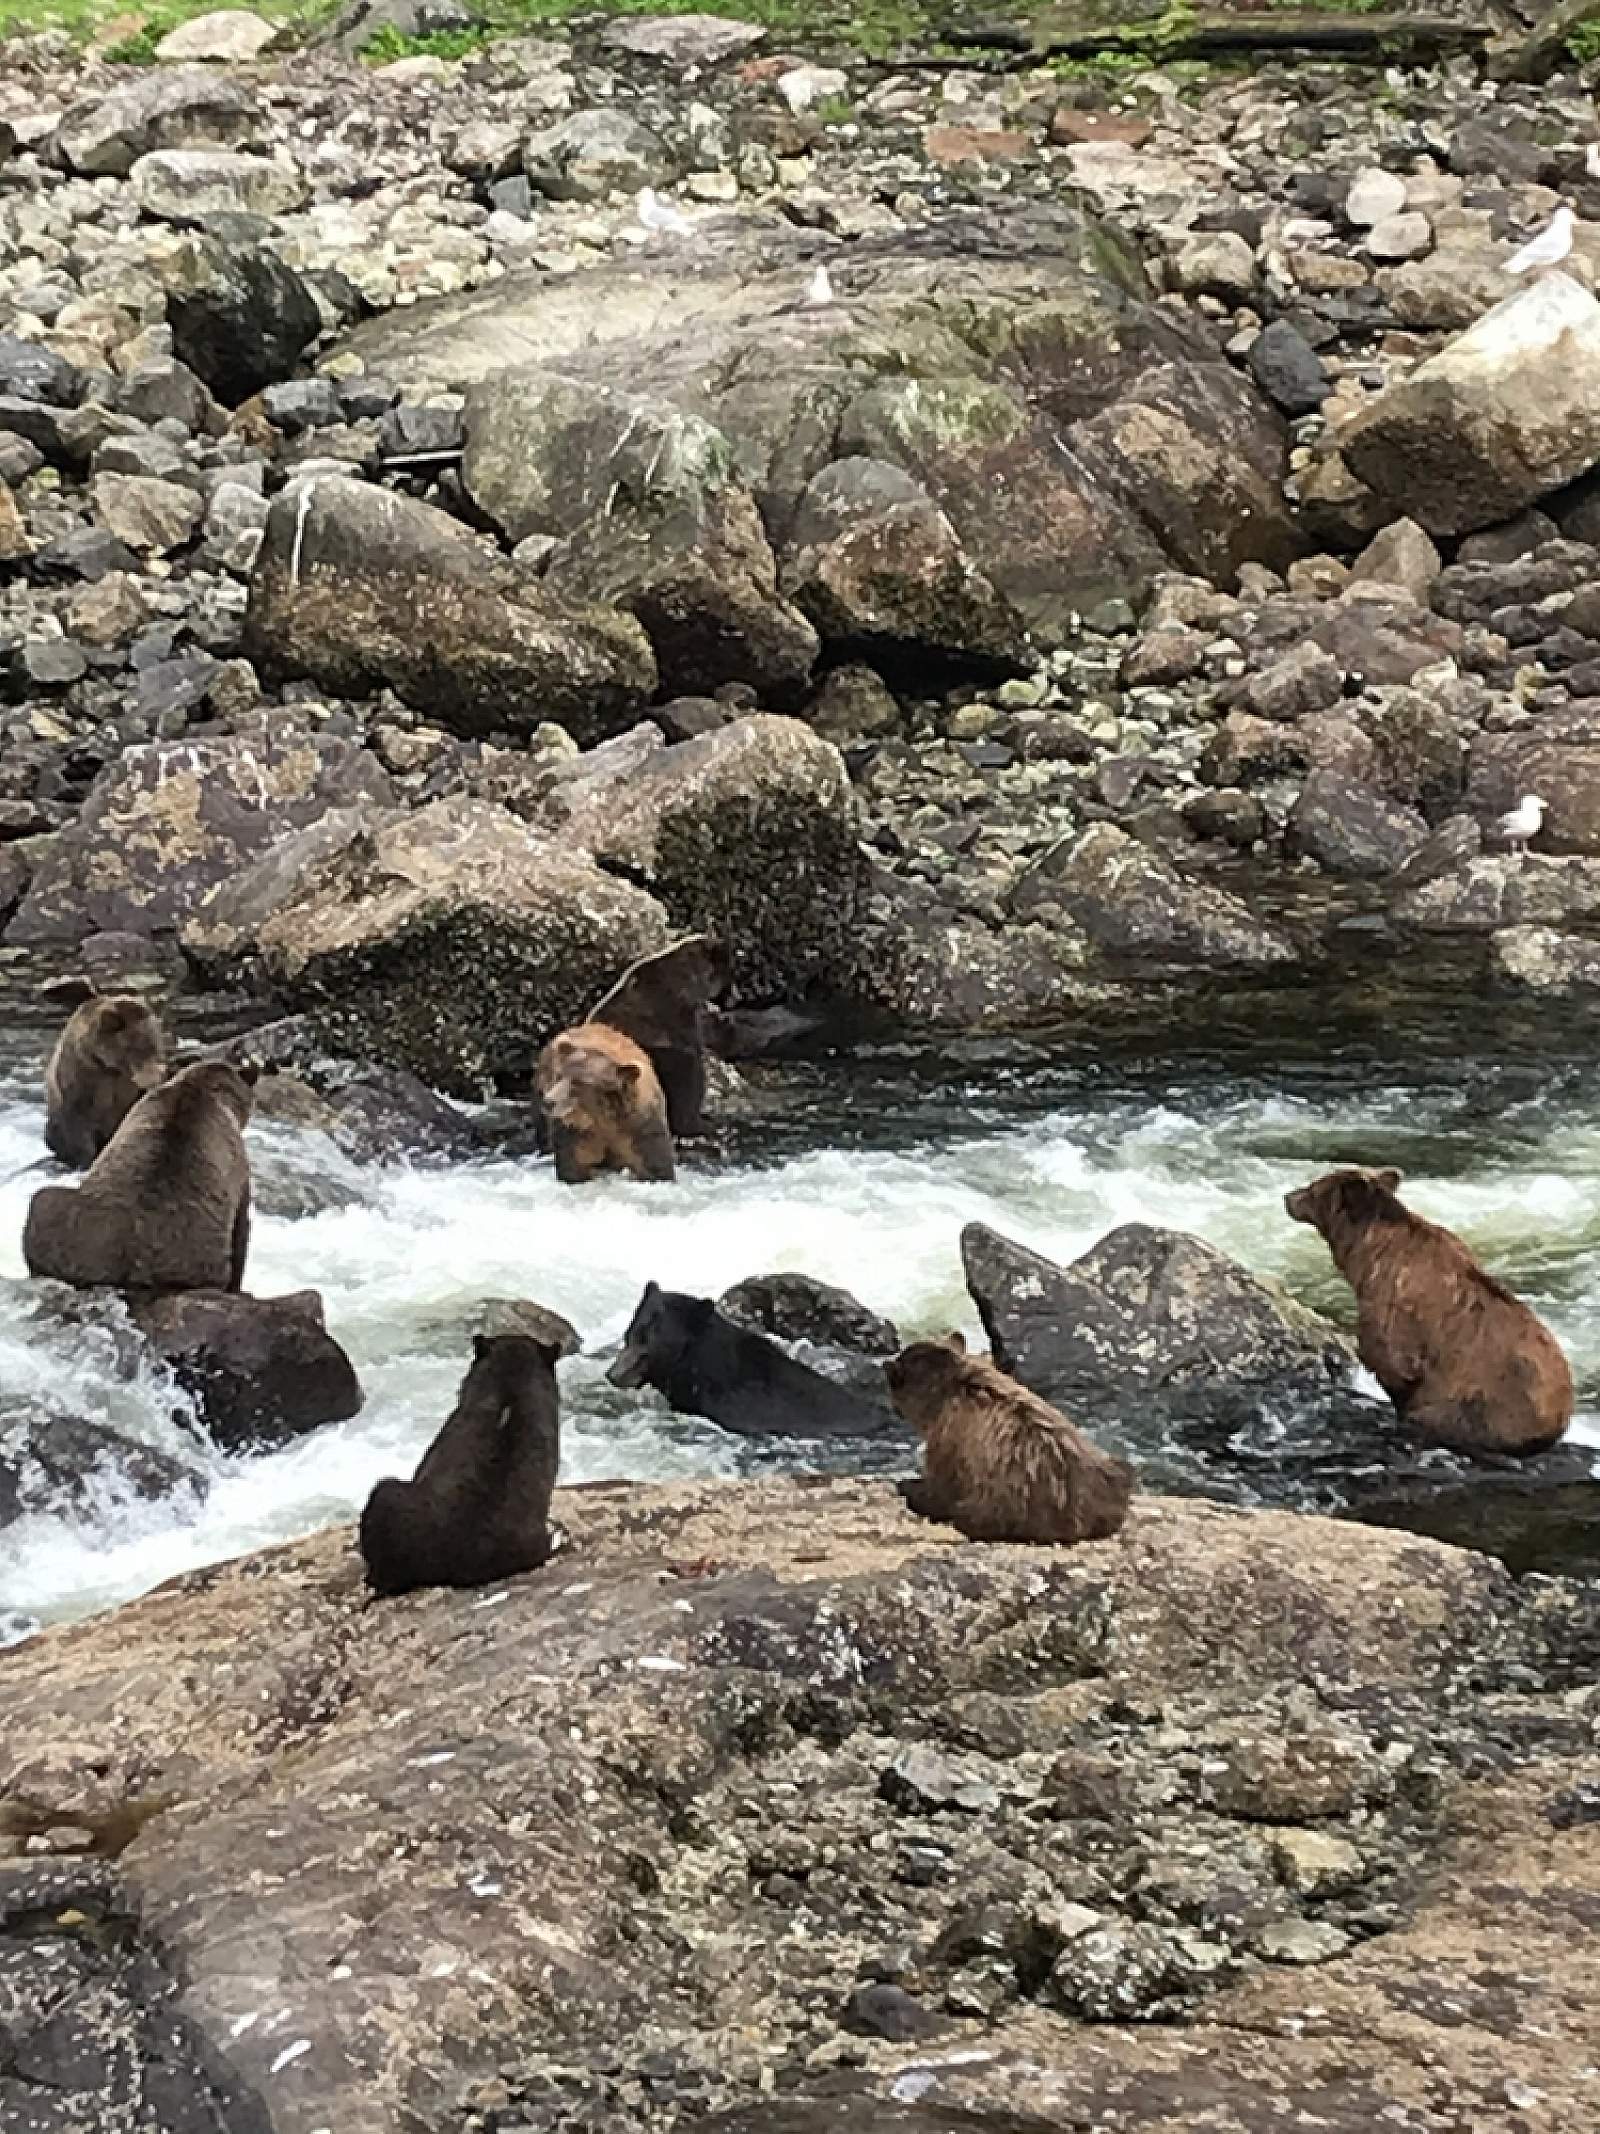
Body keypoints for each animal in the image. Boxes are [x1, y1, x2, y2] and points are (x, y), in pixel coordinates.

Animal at [44, 993, 168, 1169]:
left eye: (155, 1044)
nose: (154, 1077)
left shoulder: (123, 1087)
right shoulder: (84, 1078)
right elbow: (78, 1122)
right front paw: (86, 1160)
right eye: (132, 1048)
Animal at [536, 1023, 675, 1184]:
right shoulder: (577, 1131)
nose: (548, 1102)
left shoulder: (640, 1123)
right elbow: (575, 1163)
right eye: (559, 1076)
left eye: (578, 1083)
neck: (602, 1117)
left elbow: (655, 1165)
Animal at [1285, 1166, 1573, 1457]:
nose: (1287, 1197)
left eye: (1313, 1188)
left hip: (1488, 1407)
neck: (1366, 1255)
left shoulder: (1392, 1308)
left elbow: (1390, 1362)